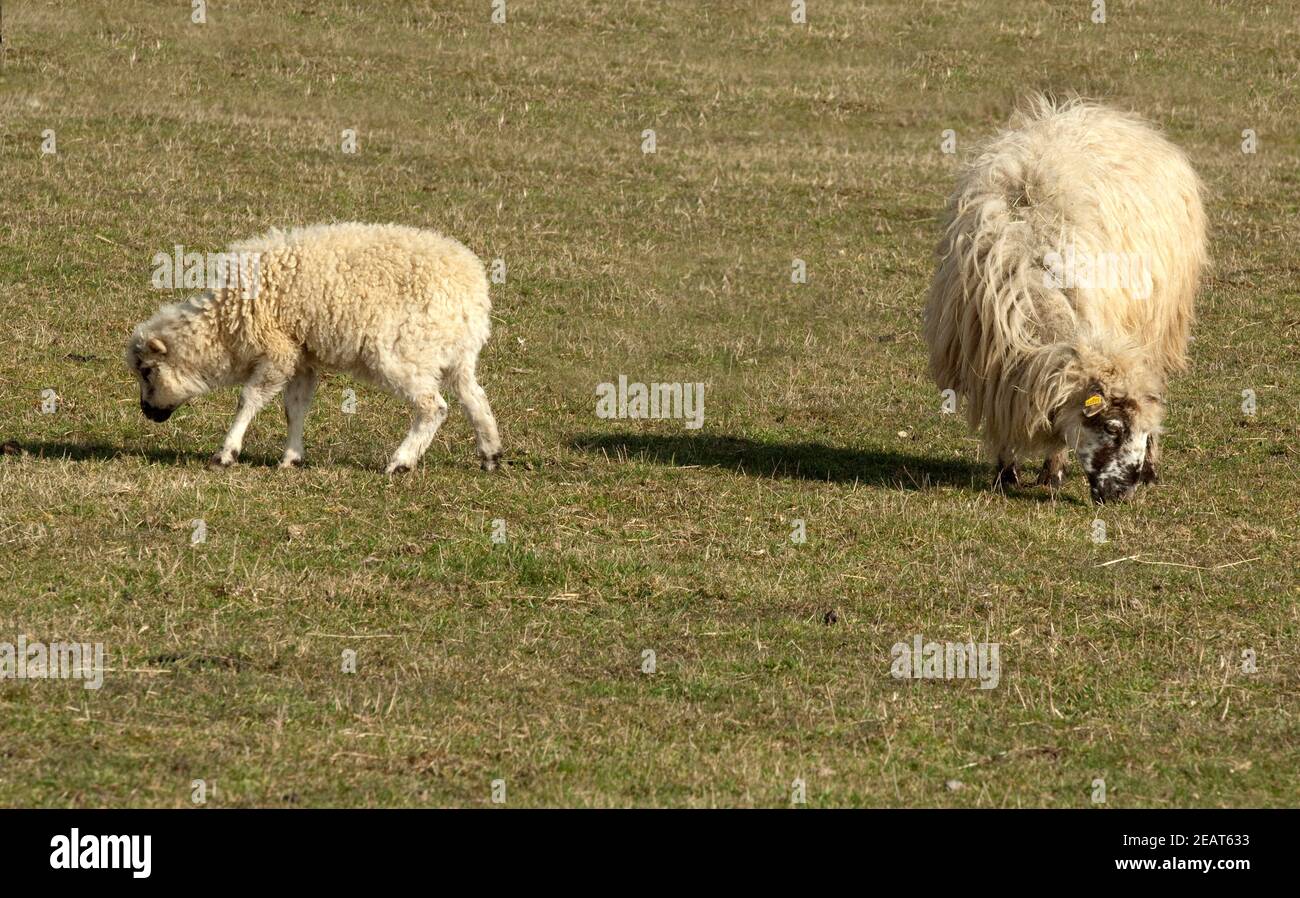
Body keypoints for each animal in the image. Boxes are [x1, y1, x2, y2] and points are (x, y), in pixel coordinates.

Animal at [126, 222, 503, 473]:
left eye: (147, 371)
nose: (146, 412)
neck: (224, 325)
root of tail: (472, 290)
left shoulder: (278, 351)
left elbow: (248, 400)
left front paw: (227, 453)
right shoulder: (301, 357)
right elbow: (295, 408)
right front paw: (292, 457)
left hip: (402, 351)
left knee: (433, 407)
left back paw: (401, 462)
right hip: (455, 355)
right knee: (475, 397)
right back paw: (491, 454)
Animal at [923, 98, 1206, 503]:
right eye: (1112, 427)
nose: (1124, 494)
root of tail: (1111, 115)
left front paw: (1052, 473)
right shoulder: (993, 361)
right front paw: (1005, 473)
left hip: (1162, 323)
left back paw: (1152, 467)